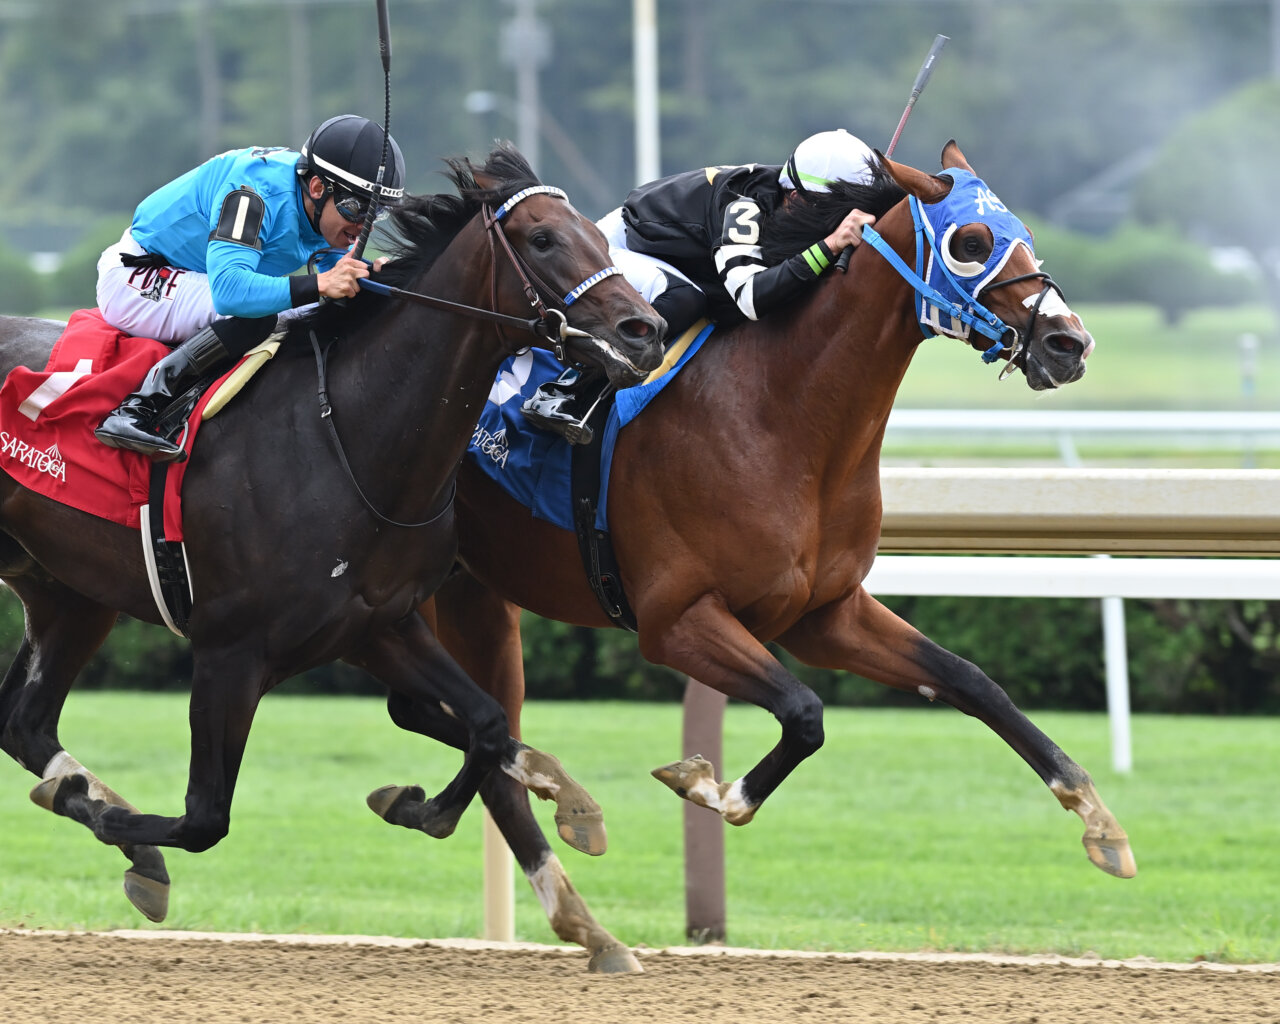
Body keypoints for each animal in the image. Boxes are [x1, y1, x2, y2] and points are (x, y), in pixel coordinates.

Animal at [0, 143, 664, 923]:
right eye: (542, 239)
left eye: (597, 235)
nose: (644, 331)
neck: (351, 439)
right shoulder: (230, 650)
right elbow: (204, 818)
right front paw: (114, 825)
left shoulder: (380, 623)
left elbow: (489, 723)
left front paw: (422, 803)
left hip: (66, 591)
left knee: (25, 723)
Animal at [427, 142, 1132, 972]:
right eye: (971, 242)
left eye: (1021, 232)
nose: (1070, 343)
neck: (784, 414)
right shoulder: (676, 620)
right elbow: (803, 713)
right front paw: (707, 783)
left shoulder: (826, 615)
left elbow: (972, 682)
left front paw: (1098, 819)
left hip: (472, 594)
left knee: (484, 739)